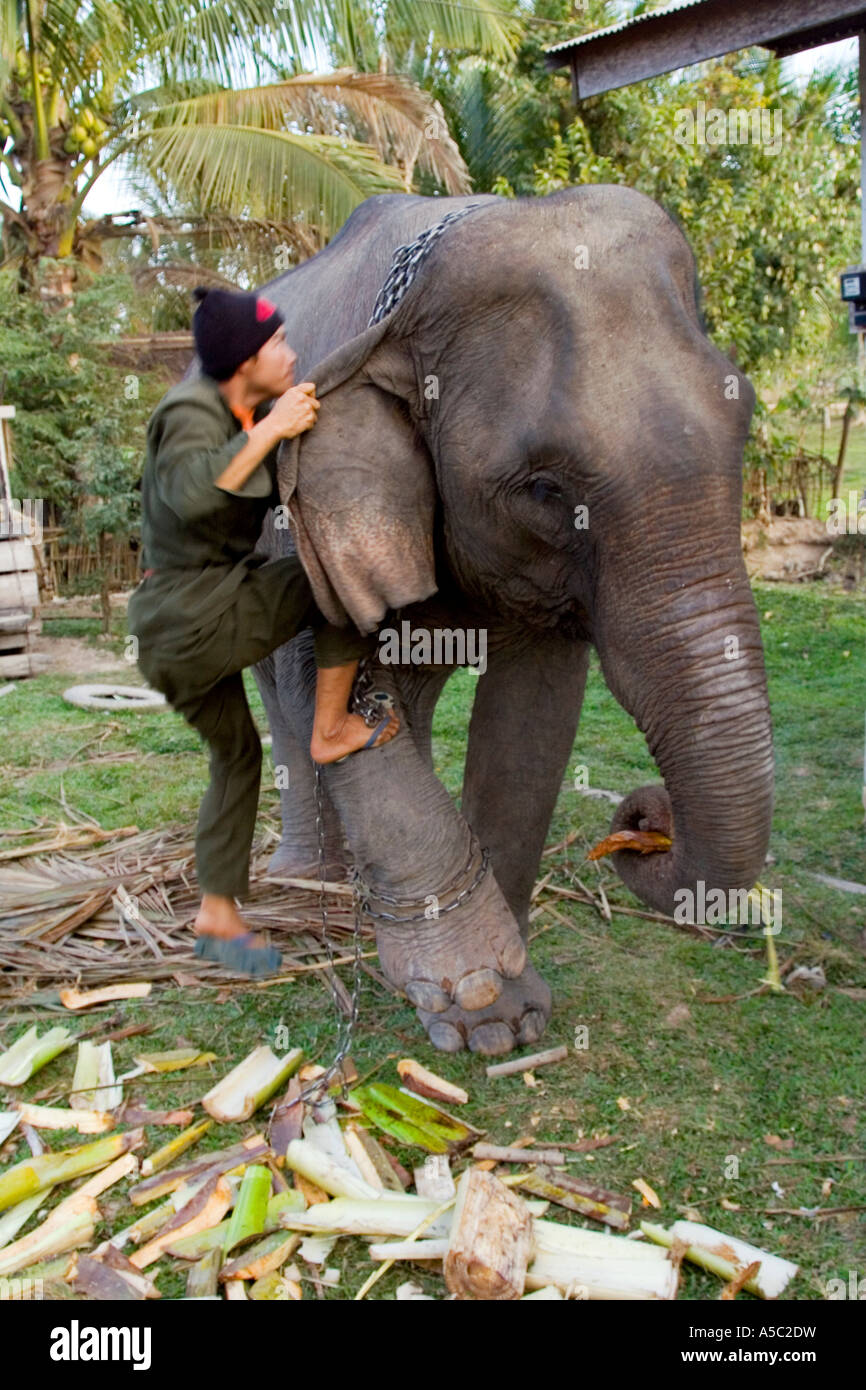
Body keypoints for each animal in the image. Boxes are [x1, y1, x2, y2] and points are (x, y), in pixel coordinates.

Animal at [200, 185, 774, 1056]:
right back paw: (307, 879)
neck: (404, 312)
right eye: (544, 488)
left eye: (744, 425)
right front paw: (476, 1008)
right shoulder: (296, 511)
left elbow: (531, 718)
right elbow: (326, 686)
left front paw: (513, 1003)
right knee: (281, 698)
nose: (641, 821)